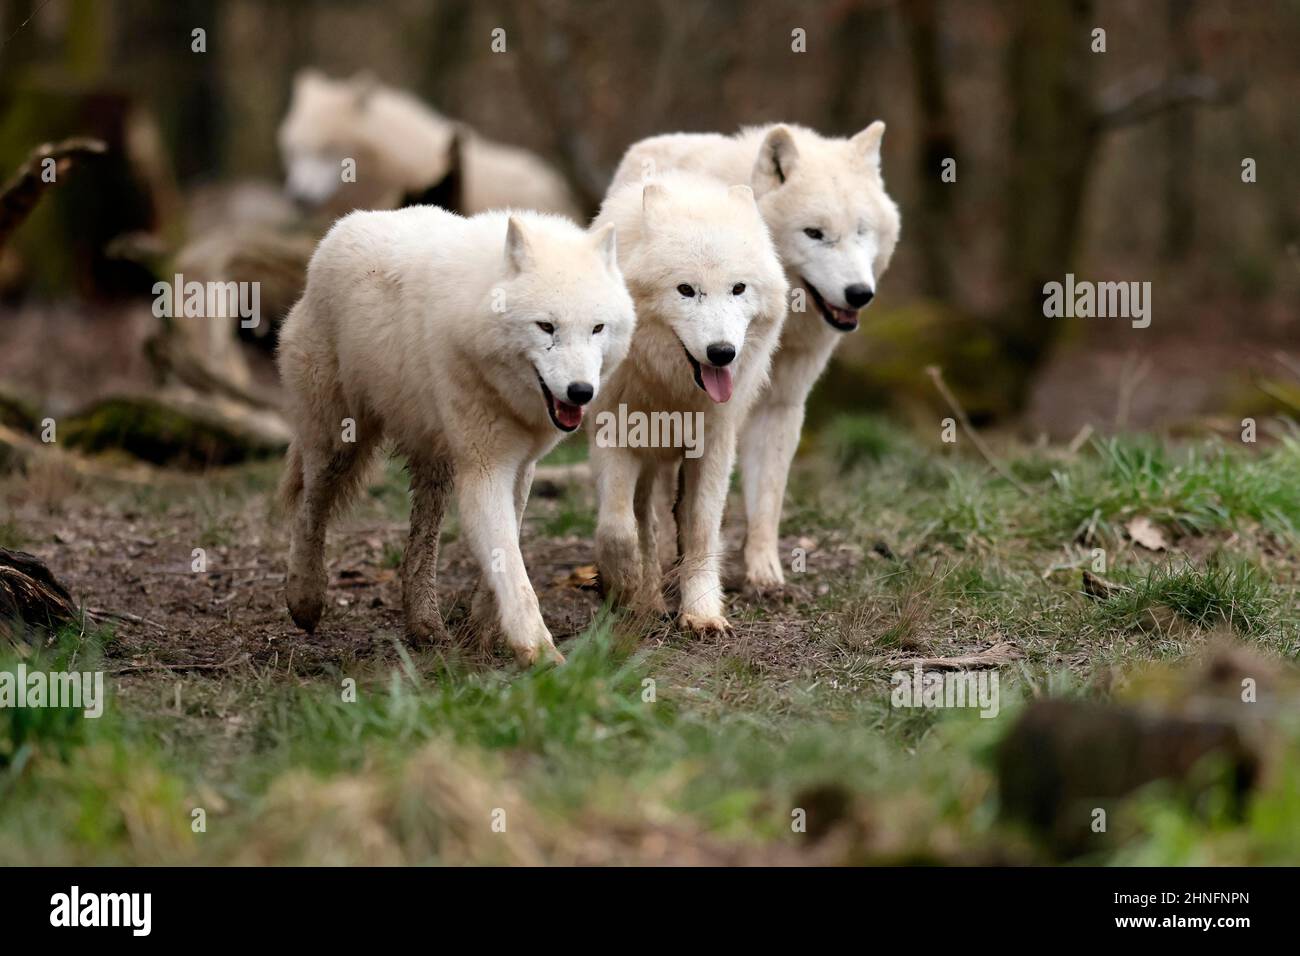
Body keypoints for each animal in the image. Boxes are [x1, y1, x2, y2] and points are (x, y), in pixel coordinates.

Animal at [277, 206, 634, 664]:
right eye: (546, 327)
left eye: (597, 328)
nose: (581, 391)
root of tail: (340, 228)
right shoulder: (485, 467)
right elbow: (511, 566)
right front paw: (538, 651)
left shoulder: (522, 466)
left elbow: (503, 553)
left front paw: (486, 631)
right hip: (339, 442)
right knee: (310, 506)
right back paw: (305, 598)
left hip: (437, 462)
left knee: (420, 542)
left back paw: (425, 626)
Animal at [589, 172, 788, 632]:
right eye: (686, 290)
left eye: (738, 289)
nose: (722, 353)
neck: (673, 391)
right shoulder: (614, 434)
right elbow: (618, 528)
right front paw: (625, 586)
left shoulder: (714, 443)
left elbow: (699, 527)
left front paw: (702, 611)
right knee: (645, 519)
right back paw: (646, 599)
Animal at [610, 123, 901, 591]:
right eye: (814, 233)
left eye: (861, 231)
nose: (860, 293)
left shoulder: (780, 405)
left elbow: (767, 494)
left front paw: (765, 571)